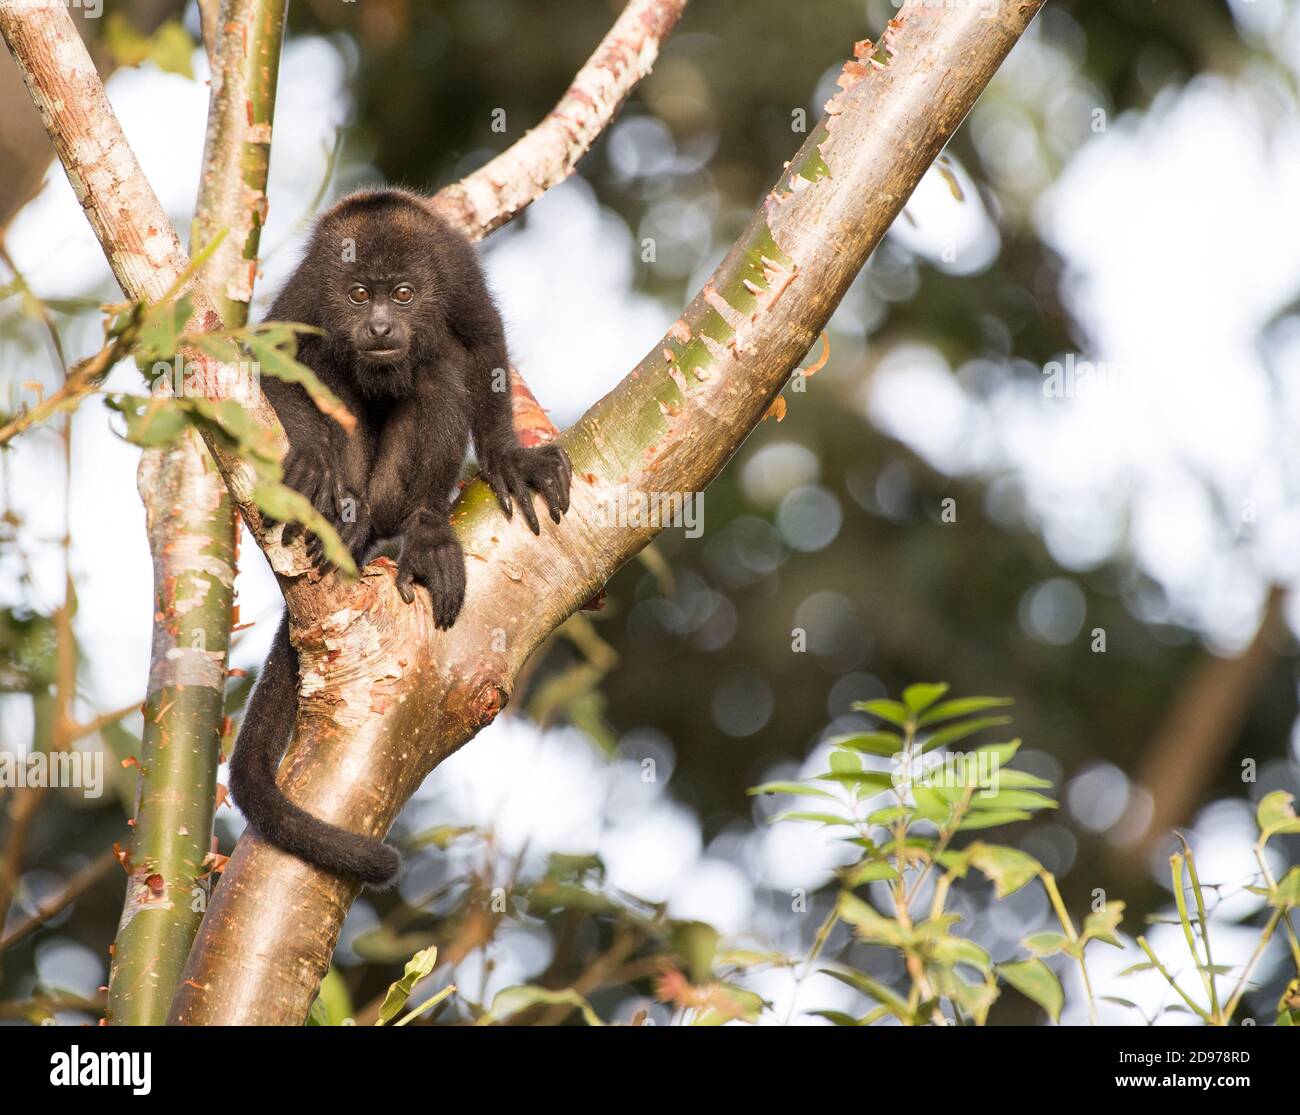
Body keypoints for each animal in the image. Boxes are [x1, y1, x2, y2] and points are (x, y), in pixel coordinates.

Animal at [228, 188, 571, 886]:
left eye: (406, 294)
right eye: (359, 295)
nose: (382, 327)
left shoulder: (457, 274)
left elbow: (482, 347)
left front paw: (507, 455)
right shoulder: (313, 287)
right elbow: (277, 364)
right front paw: (311, 459)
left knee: (440, 371)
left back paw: (423, 529)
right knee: (329, 370)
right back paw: (345, 514)